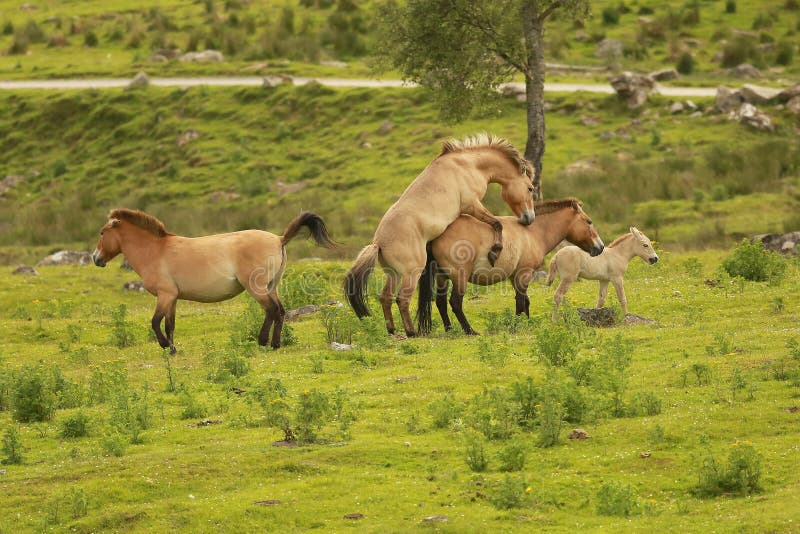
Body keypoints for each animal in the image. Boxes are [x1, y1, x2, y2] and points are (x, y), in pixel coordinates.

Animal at [92, 209, 336, 352]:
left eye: (102, 232)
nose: (95, 258)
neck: (156, 251)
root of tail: (279, 238)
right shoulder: (173, 298)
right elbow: (170, 324)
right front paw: (172, 348)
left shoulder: (165, 295)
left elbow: (154, 322)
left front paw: (164, 345)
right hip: (271, 287)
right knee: (281, 311)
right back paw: (276, 343)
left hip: (256, 287)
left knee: (271, 310)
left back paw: (263, 341)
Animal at [344, 134, 537, 337]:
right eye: (530, 188)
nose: (529, 218)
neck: (469, 164)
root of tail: (378, 243)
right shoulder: (472, 205)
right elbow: (497, 224)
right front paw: (494, 252)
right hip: (411, 273)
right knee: (402, 299)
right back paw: (412, 332)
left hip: (393, 273)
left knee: (385, 297)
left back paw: (392, 330)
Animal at [416, 198, 604, 335]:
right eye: (588, 221)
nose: (600, 247)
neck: (532, 232)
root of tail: (438, 234)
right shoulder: (524, 273)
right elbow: (520, 301)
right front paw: (517, 325)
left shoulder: (515, 276)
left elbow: (525, 300)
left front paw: (526, 322)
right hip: (459, 277)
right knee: (455, 303)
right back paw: (469, 331)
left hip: (442, 277)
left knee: (440, 303)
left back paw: (449, 330)